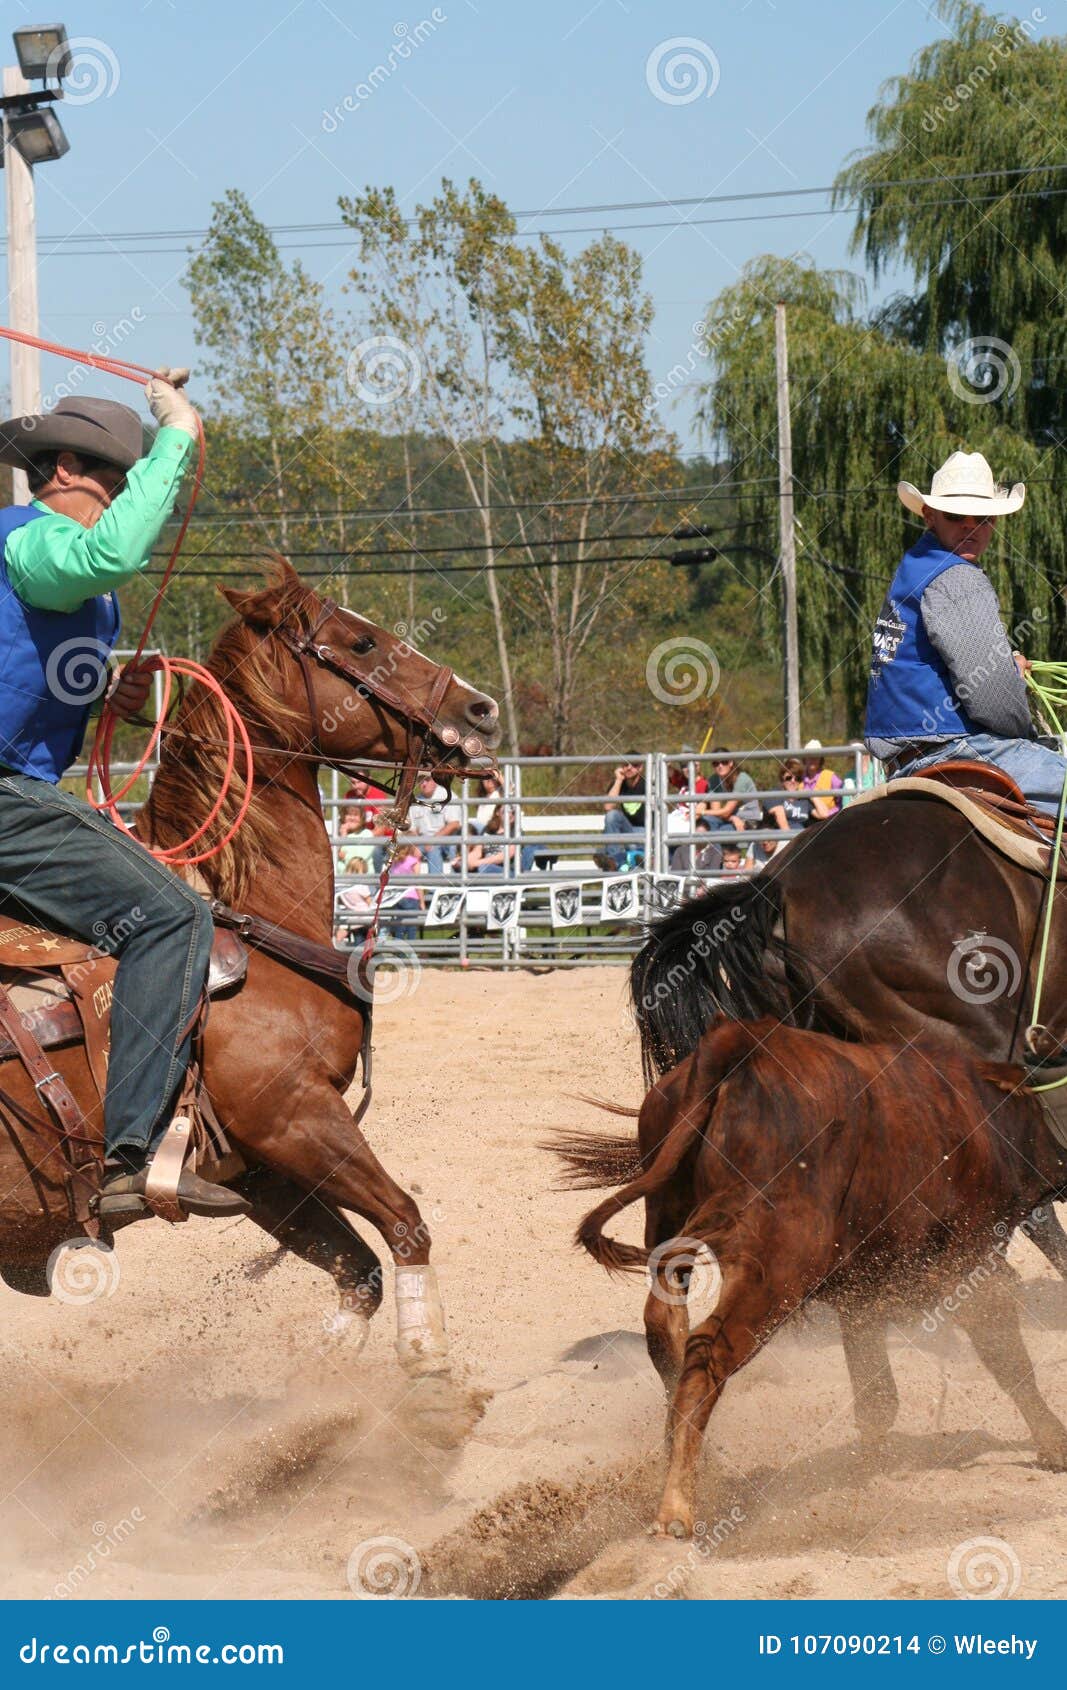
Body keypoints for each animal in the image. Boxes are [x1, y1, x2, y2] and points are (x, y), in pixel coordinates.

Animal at [553, 1018, 1067, 1539]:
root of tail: (735, 1042)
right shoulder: (970, 1264)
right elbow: (1008, 1359)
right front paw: (1055, 1442)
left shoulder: (863, 1296)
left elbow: (877, 1394)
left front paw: (868, 1467)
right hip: (776, 1272)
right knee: (706, 1353)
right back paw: (677, 1508)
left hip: (669, 1226)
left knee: (666, 1335)